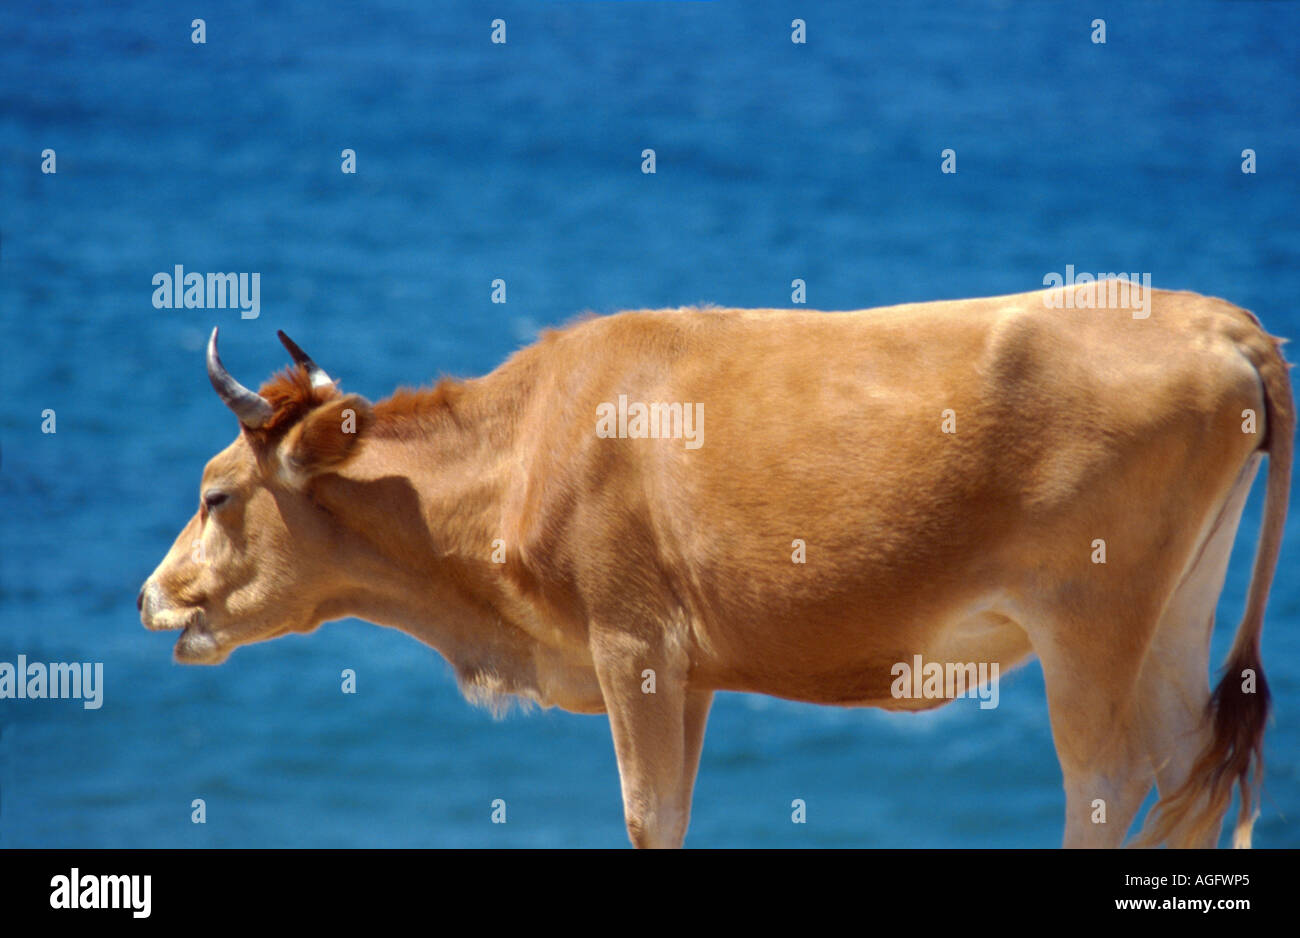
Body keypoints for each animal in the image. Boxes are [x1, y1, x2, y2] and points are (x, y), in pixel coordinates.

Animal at [139, 284, 1293, 849]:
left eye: (216, 494)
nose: (148, 593)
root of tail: (1213, 314)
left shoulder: (631, 639)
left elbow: (646, 815)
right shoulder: (686, 666)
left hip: (1092, 616)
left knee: (1104, 784)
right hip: (1173, 612)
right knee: (1183, 770)